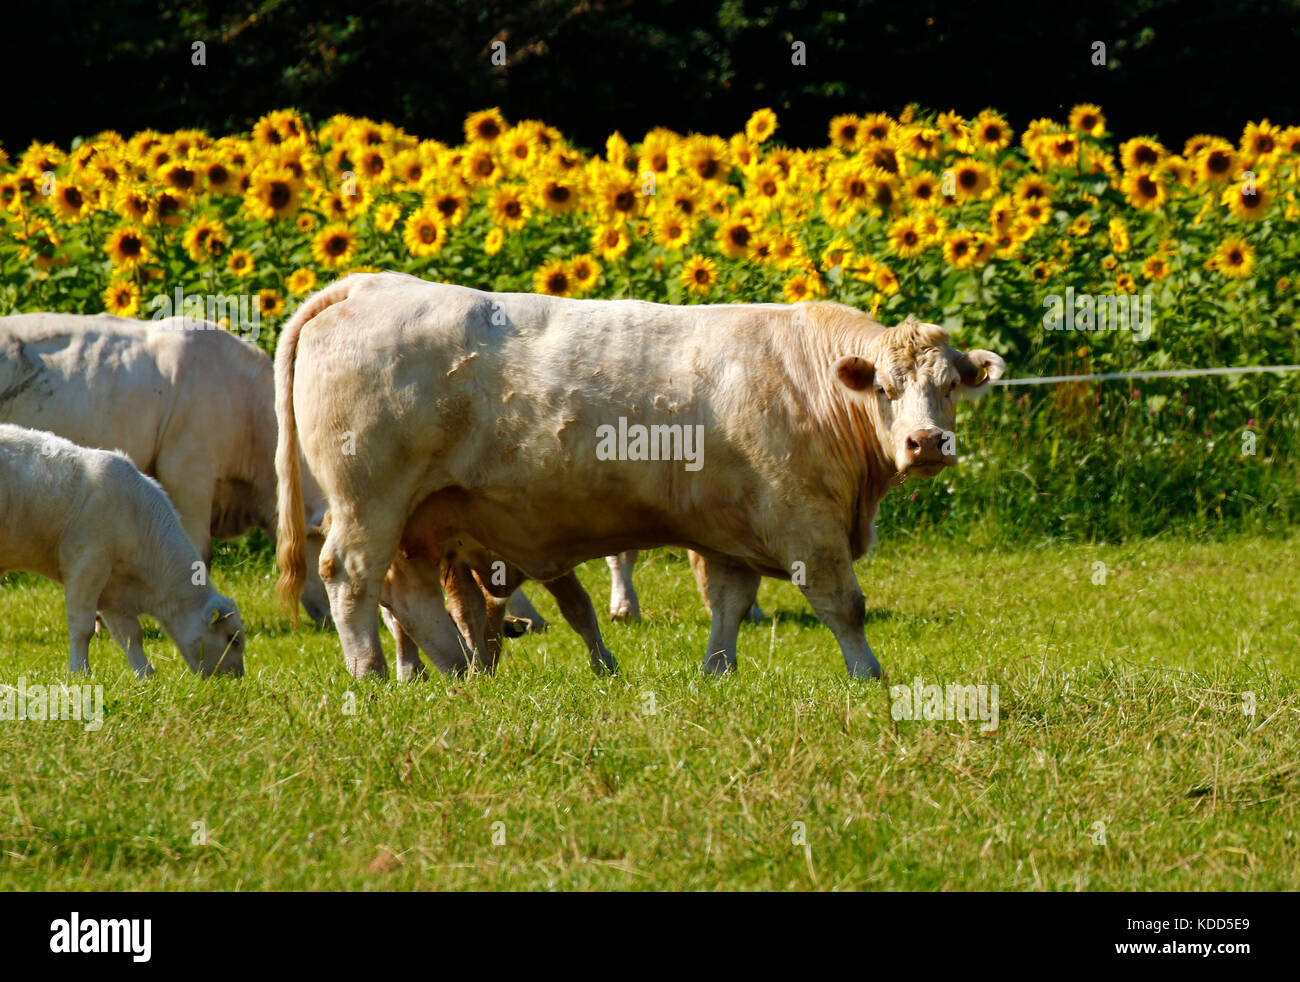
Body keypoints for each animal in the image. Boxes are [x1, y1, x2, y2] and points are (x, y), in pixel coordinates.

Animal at [0, 424, 245, 677]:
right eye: (232, 639)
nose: (236, 678)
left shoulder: (113, 590)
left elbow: (130, 636)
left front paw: (146, 675)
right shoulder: (88, 565)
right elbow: (82, 627)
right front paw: (80, 672)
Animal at [273, 272, 1005, 680]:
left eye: (951, 386)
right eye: (884, 388)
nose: (926, 442)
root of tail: (369, 283)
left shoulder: (733, 528)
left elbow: (728, 604)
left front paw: (717, 672)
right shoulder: (805, 521)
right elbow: (843, 604)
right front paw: (869, 675)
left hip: (420, 515)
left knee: (413, 592)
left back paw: (452, 670)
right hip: (369, 501)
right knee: (352, 577)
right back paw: (372, 674)